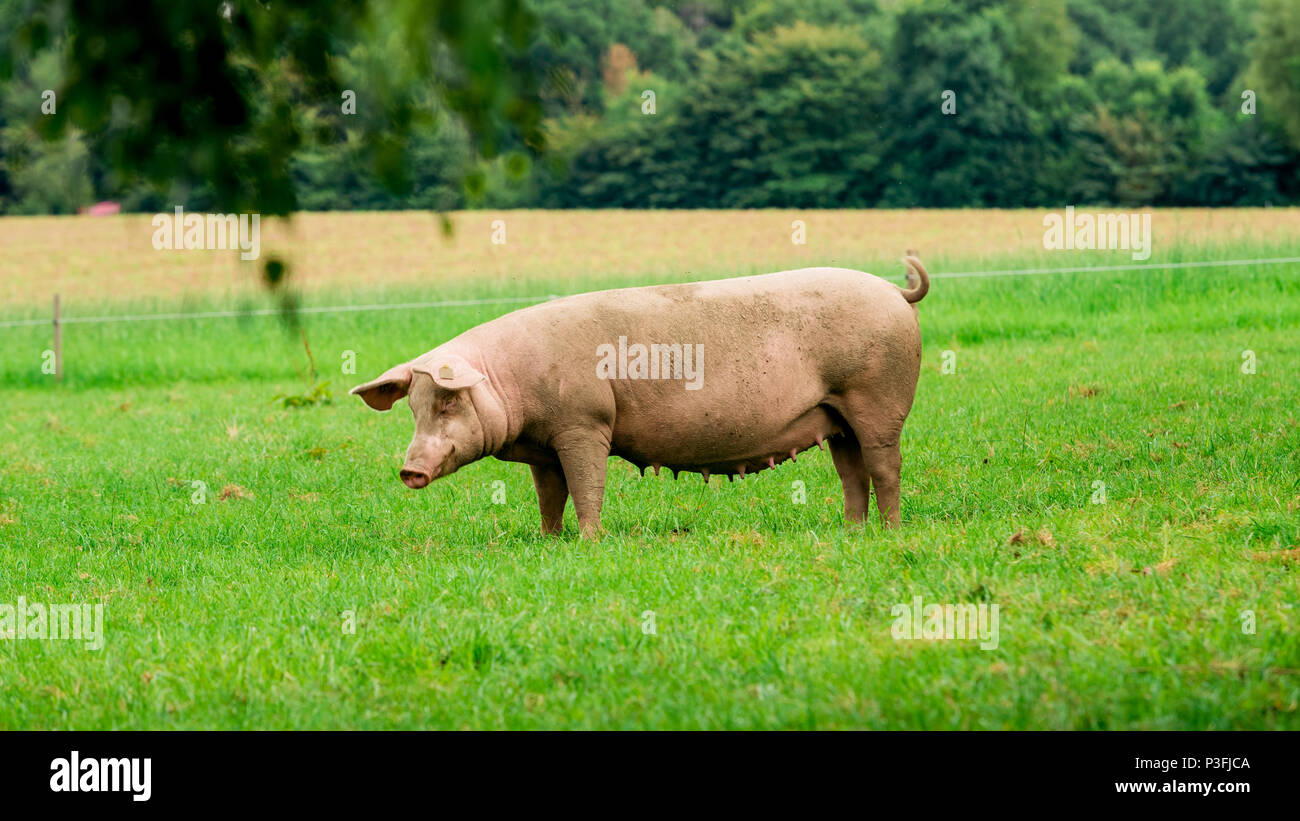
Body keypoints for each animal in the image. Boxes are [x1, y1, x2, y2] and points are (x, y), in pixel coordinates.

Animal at [351, 255, 930, 538]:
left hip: (877, 397)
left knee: (885, 464)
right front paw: (547, 539)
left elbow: (586, 485)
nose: (410, 470)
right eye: (413, 407)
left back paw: (890, 532)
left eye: (448, 402)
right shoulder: (543, 447)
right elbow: (549, 495)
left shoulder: (583, 423)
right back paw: (852, 531)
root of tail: (894, 291)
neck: (509, 381)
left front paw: (591, 541)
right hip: (836, 415)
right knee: (851, 471)